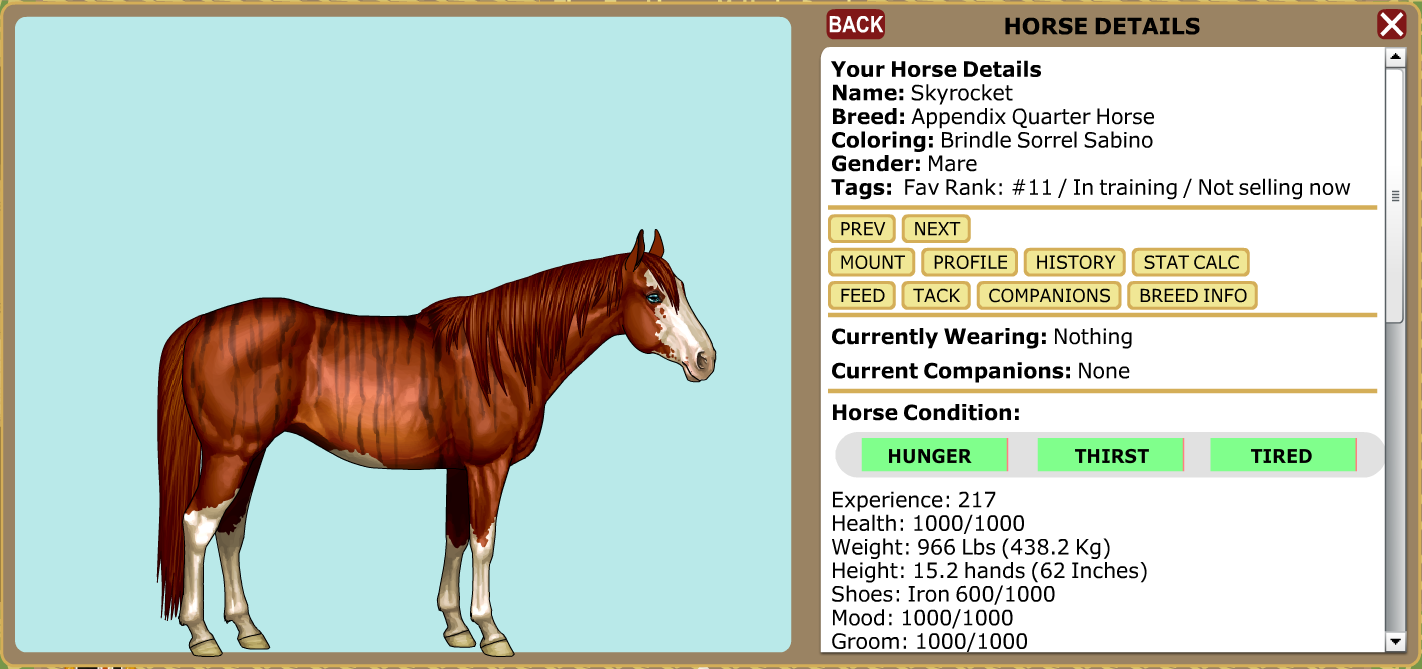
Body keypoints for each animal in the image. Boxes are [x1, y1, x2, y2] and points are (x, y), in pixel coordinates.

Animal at [155, 230, 715, 657]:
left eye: (681, 288)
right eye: (653, 296)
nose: (706, 360)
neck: (501, 354)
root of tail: (199, 326)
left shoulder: (459, 468)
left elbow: (455, 537)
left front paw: (455, 628)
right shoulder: (488, 466)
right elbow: (485, 544)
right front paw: (492, 633)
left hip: (250, 454)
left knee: (231, 531)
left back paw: (248, 630)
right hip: (230, 454)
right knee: (198, 526)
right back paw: (202, 636)